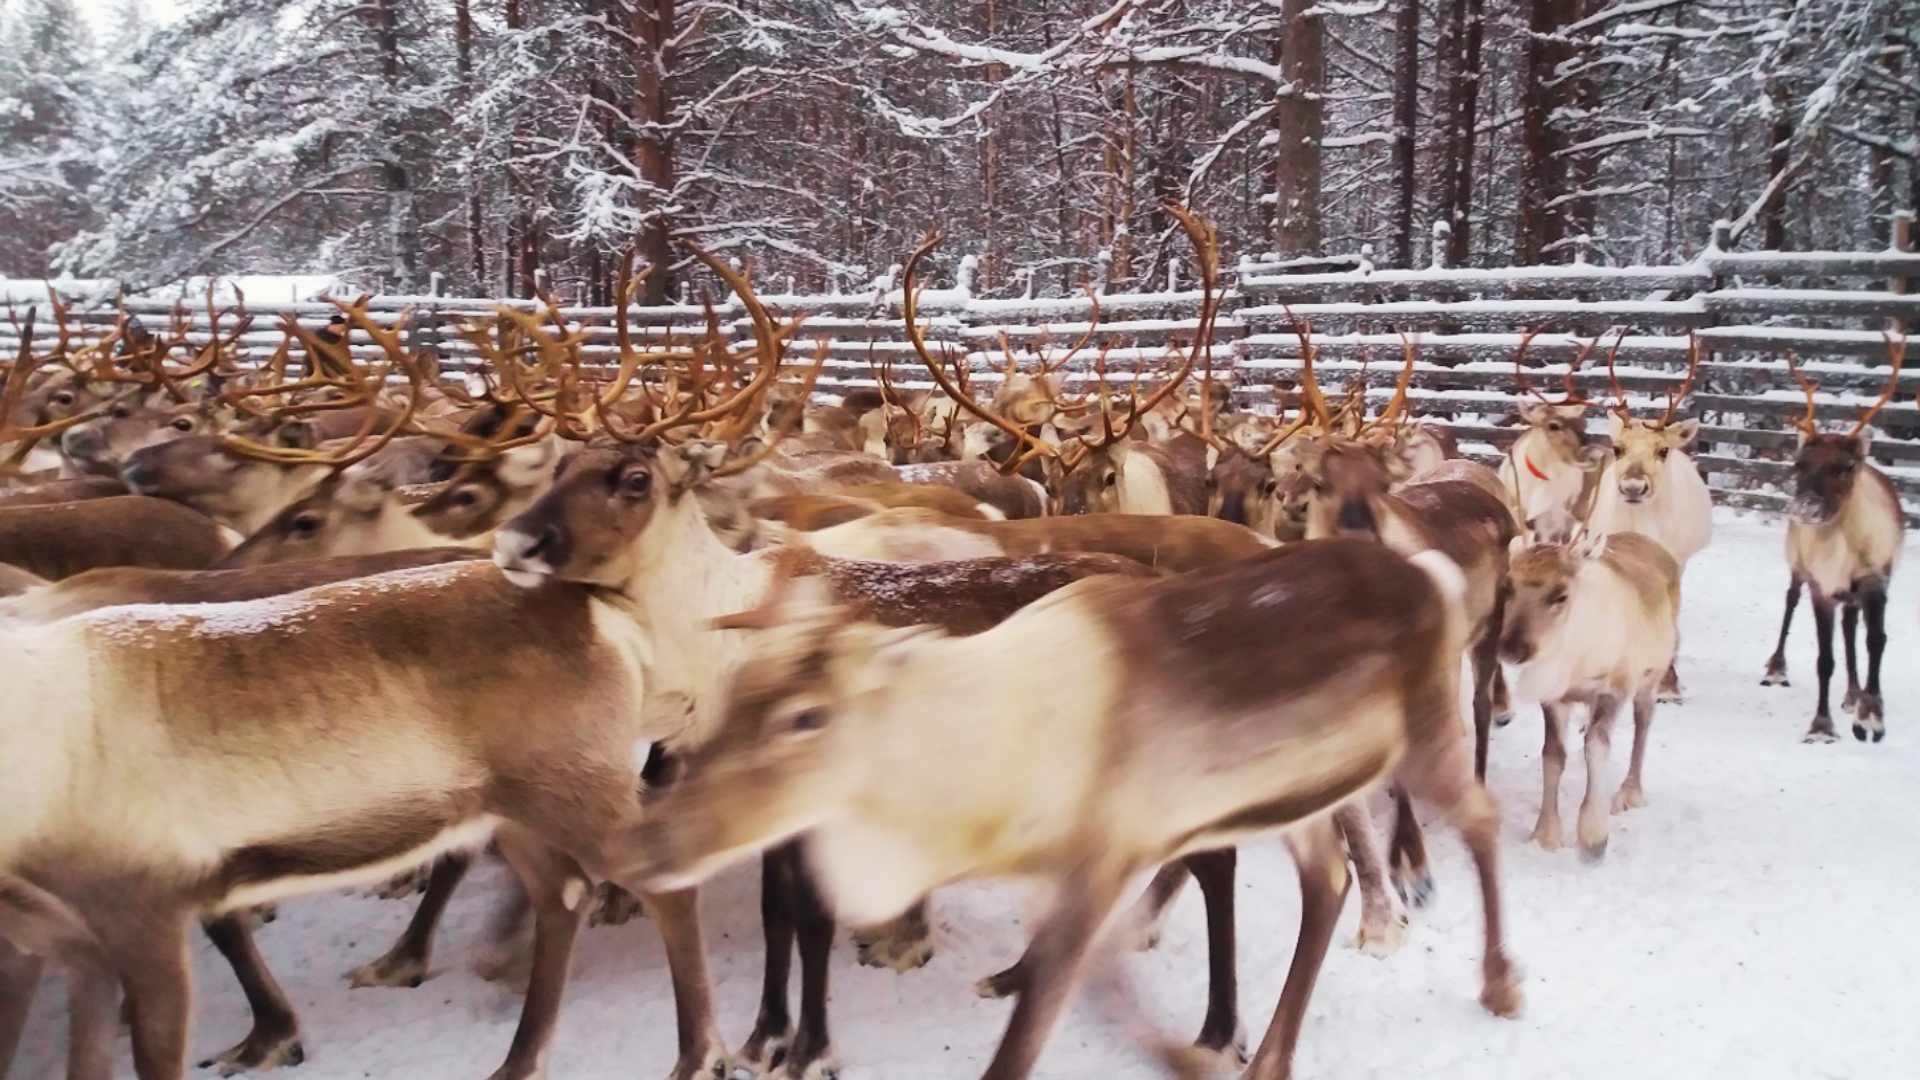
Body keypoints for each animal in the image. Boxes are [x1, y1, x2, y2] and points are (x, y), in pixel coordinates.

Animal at [618, 537, 1522, 1080]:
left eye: (805, 718)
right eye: (731, 697)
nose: (650, 837)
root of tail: (1432, 571)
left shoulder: (1107, 854)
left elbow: (1024, 1040)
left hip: (1426, 732)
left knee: (1478, 815)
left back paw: (1500, 983)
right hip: (1298, 795)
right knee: (1326, 880)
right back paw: (1267, 1056)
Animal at [1500, 513, 1681, 859]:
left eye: (1560, 595)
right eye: (1507, 588)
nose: (1512, 648)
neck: (1576, 658)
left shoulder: (1614, 687)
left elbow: (1597, 746)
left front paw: (1593, 837)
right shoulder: (1554, 697)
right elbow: (1552, 755)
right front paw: (1545, 834)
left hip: (1651, 678)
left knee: (1643, 724)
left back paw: (1630, 792)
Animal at [1761, 339, 1908, 743]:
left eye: (1846, 466)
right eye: (1798, 463)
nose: (1803, 507)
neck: (1839, 554)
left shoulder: (1874, 579)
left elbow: (1876, 640)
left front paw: (1871, 715)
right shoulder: (1821, 587)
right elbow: (1824, 660)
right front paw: (1821, 726)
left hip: (1854, 593)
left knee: (1850, 629)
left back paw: (1853, 695)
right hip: (1798, 568)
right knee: (1790, 601)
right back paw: (1776, 667)